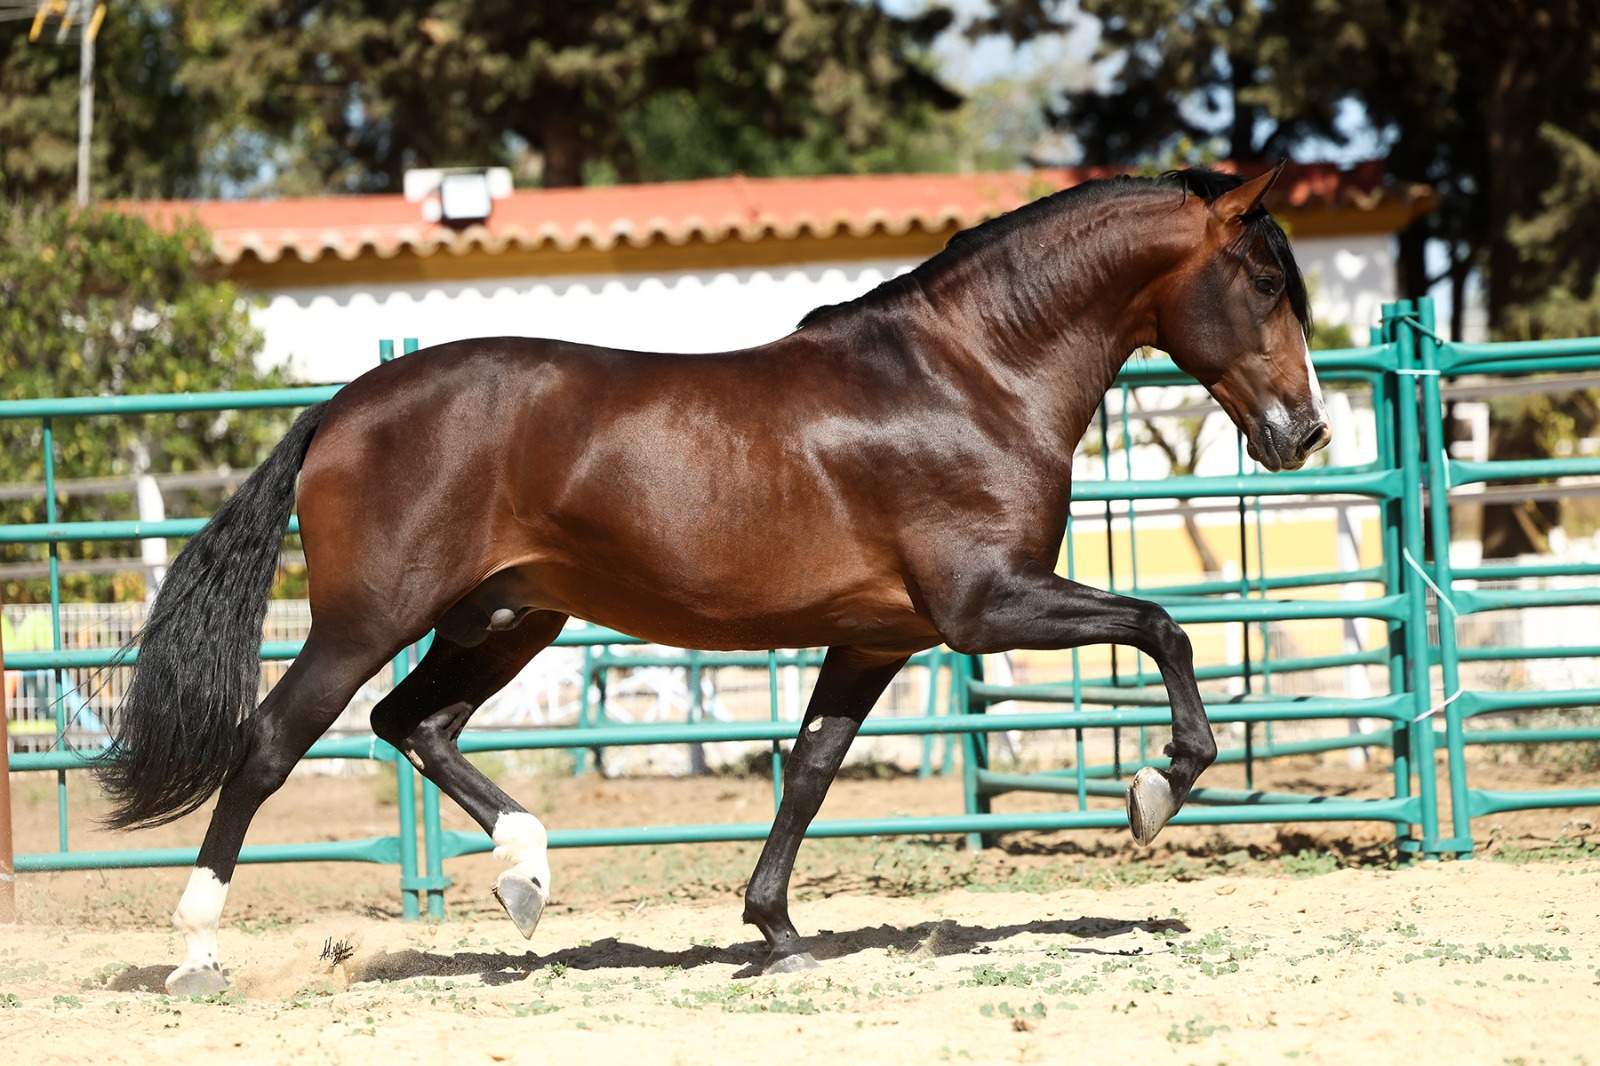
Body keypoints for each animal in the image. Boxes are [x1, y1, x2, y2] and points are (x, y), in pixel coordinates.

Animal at [98, 163, 1329, 994]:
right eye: (1267, 278)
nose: (1304, 432)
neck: (970, 379)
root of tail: (342, 408)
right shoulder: (984, 608)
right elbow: (1164, 625)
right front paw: (1157, 788)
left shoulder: (879, 636)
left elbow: (812, 768)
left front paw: (774, 932)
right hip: (369, 620)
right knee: (271, 745)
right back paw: (198, 953)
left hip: (507, 617)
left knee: (416, 722)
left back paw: (525, 877)